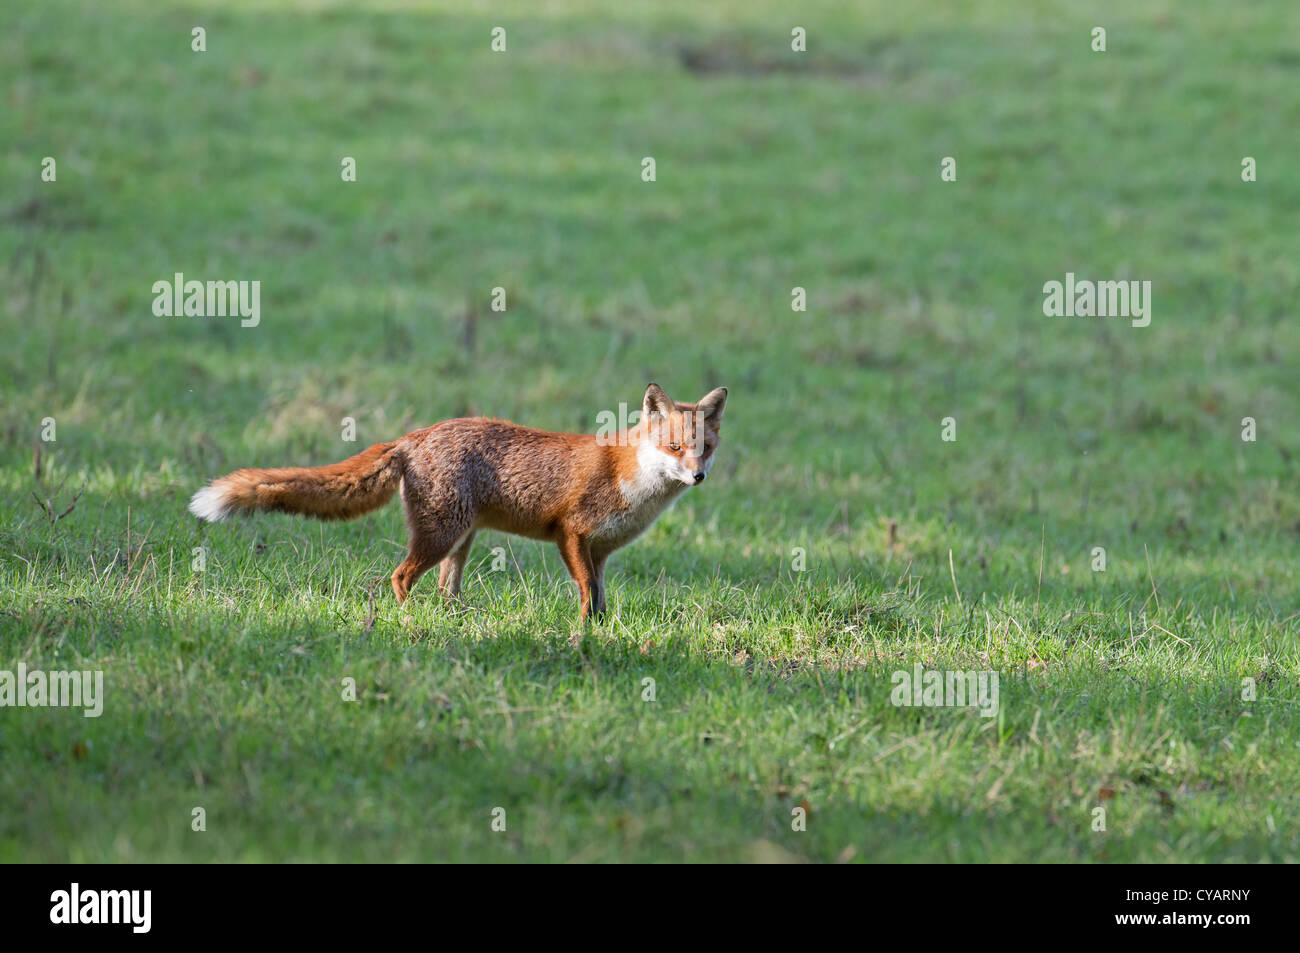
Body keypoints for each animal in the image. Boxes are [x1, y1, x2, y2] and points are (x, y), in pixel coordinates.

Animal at [188, 383, 727, 619]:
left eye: (705, 448)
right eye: (673, 447)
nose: (698, 476)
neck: (628, 479)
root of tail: (413, 435)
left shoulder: (601, 551)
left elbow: (598, 598)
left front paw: (600, 629)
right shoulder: (571, 535)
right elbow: (584, 597)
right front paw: (584, 636)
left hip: (461, 541)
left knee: (446, 589)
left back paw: (456, 621)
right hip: (440, 535)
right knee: (399, 577)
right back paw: (411, 621)